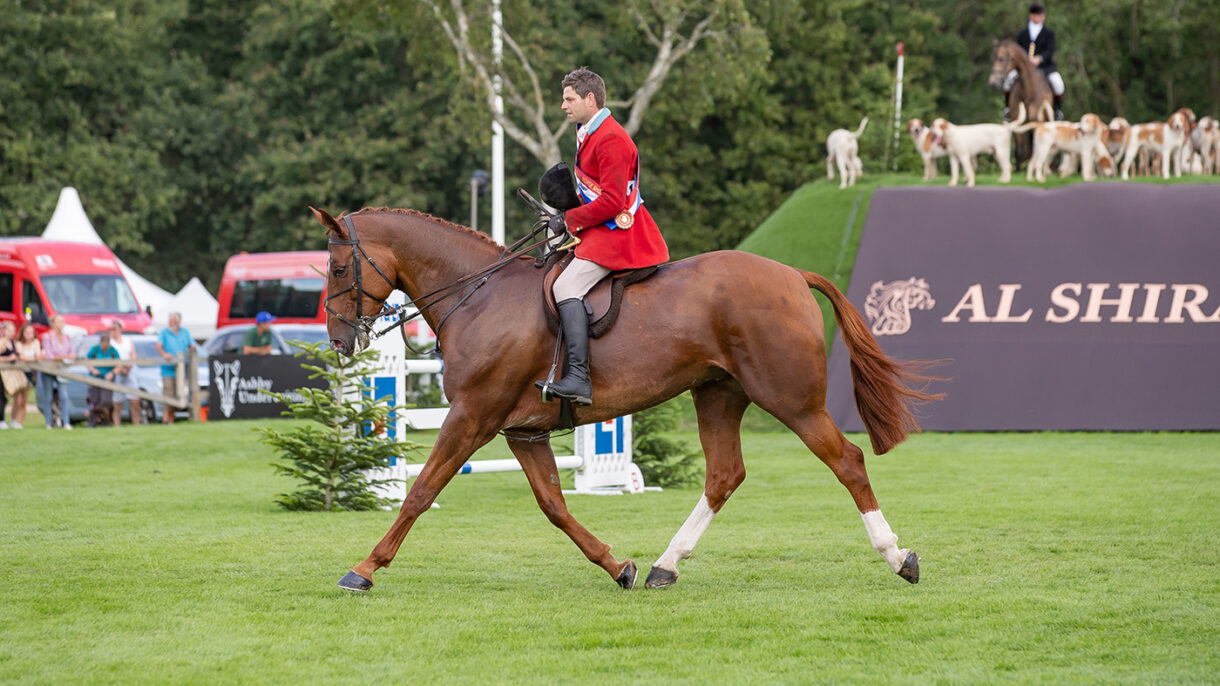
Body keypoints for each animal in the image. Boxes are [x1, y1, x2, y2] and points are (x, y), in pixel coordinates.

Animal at [313, 205, 942, 592]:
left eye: (339, 267)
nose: (341, 343)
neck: (479, 295)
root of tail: (791, 274)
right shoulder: (523, 431)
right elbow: (555, 505)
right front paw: (618, 566)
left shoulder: (472, 417)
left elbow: (419, 492)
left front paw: (364, 569)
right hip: (718, 394)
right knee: (724, 476)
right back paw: (666, 565)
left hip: (792, 400)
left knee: (846, 461)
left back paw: (899, 557)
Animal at [989, 38, 1055, 169]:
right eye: (992, 58)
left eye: (1001, 59)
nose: (993, 82)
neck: (1028, 90)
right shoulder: (1016, 120)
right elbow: (1019, 149)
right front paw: (1018, 171)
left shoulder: (1038, 121)